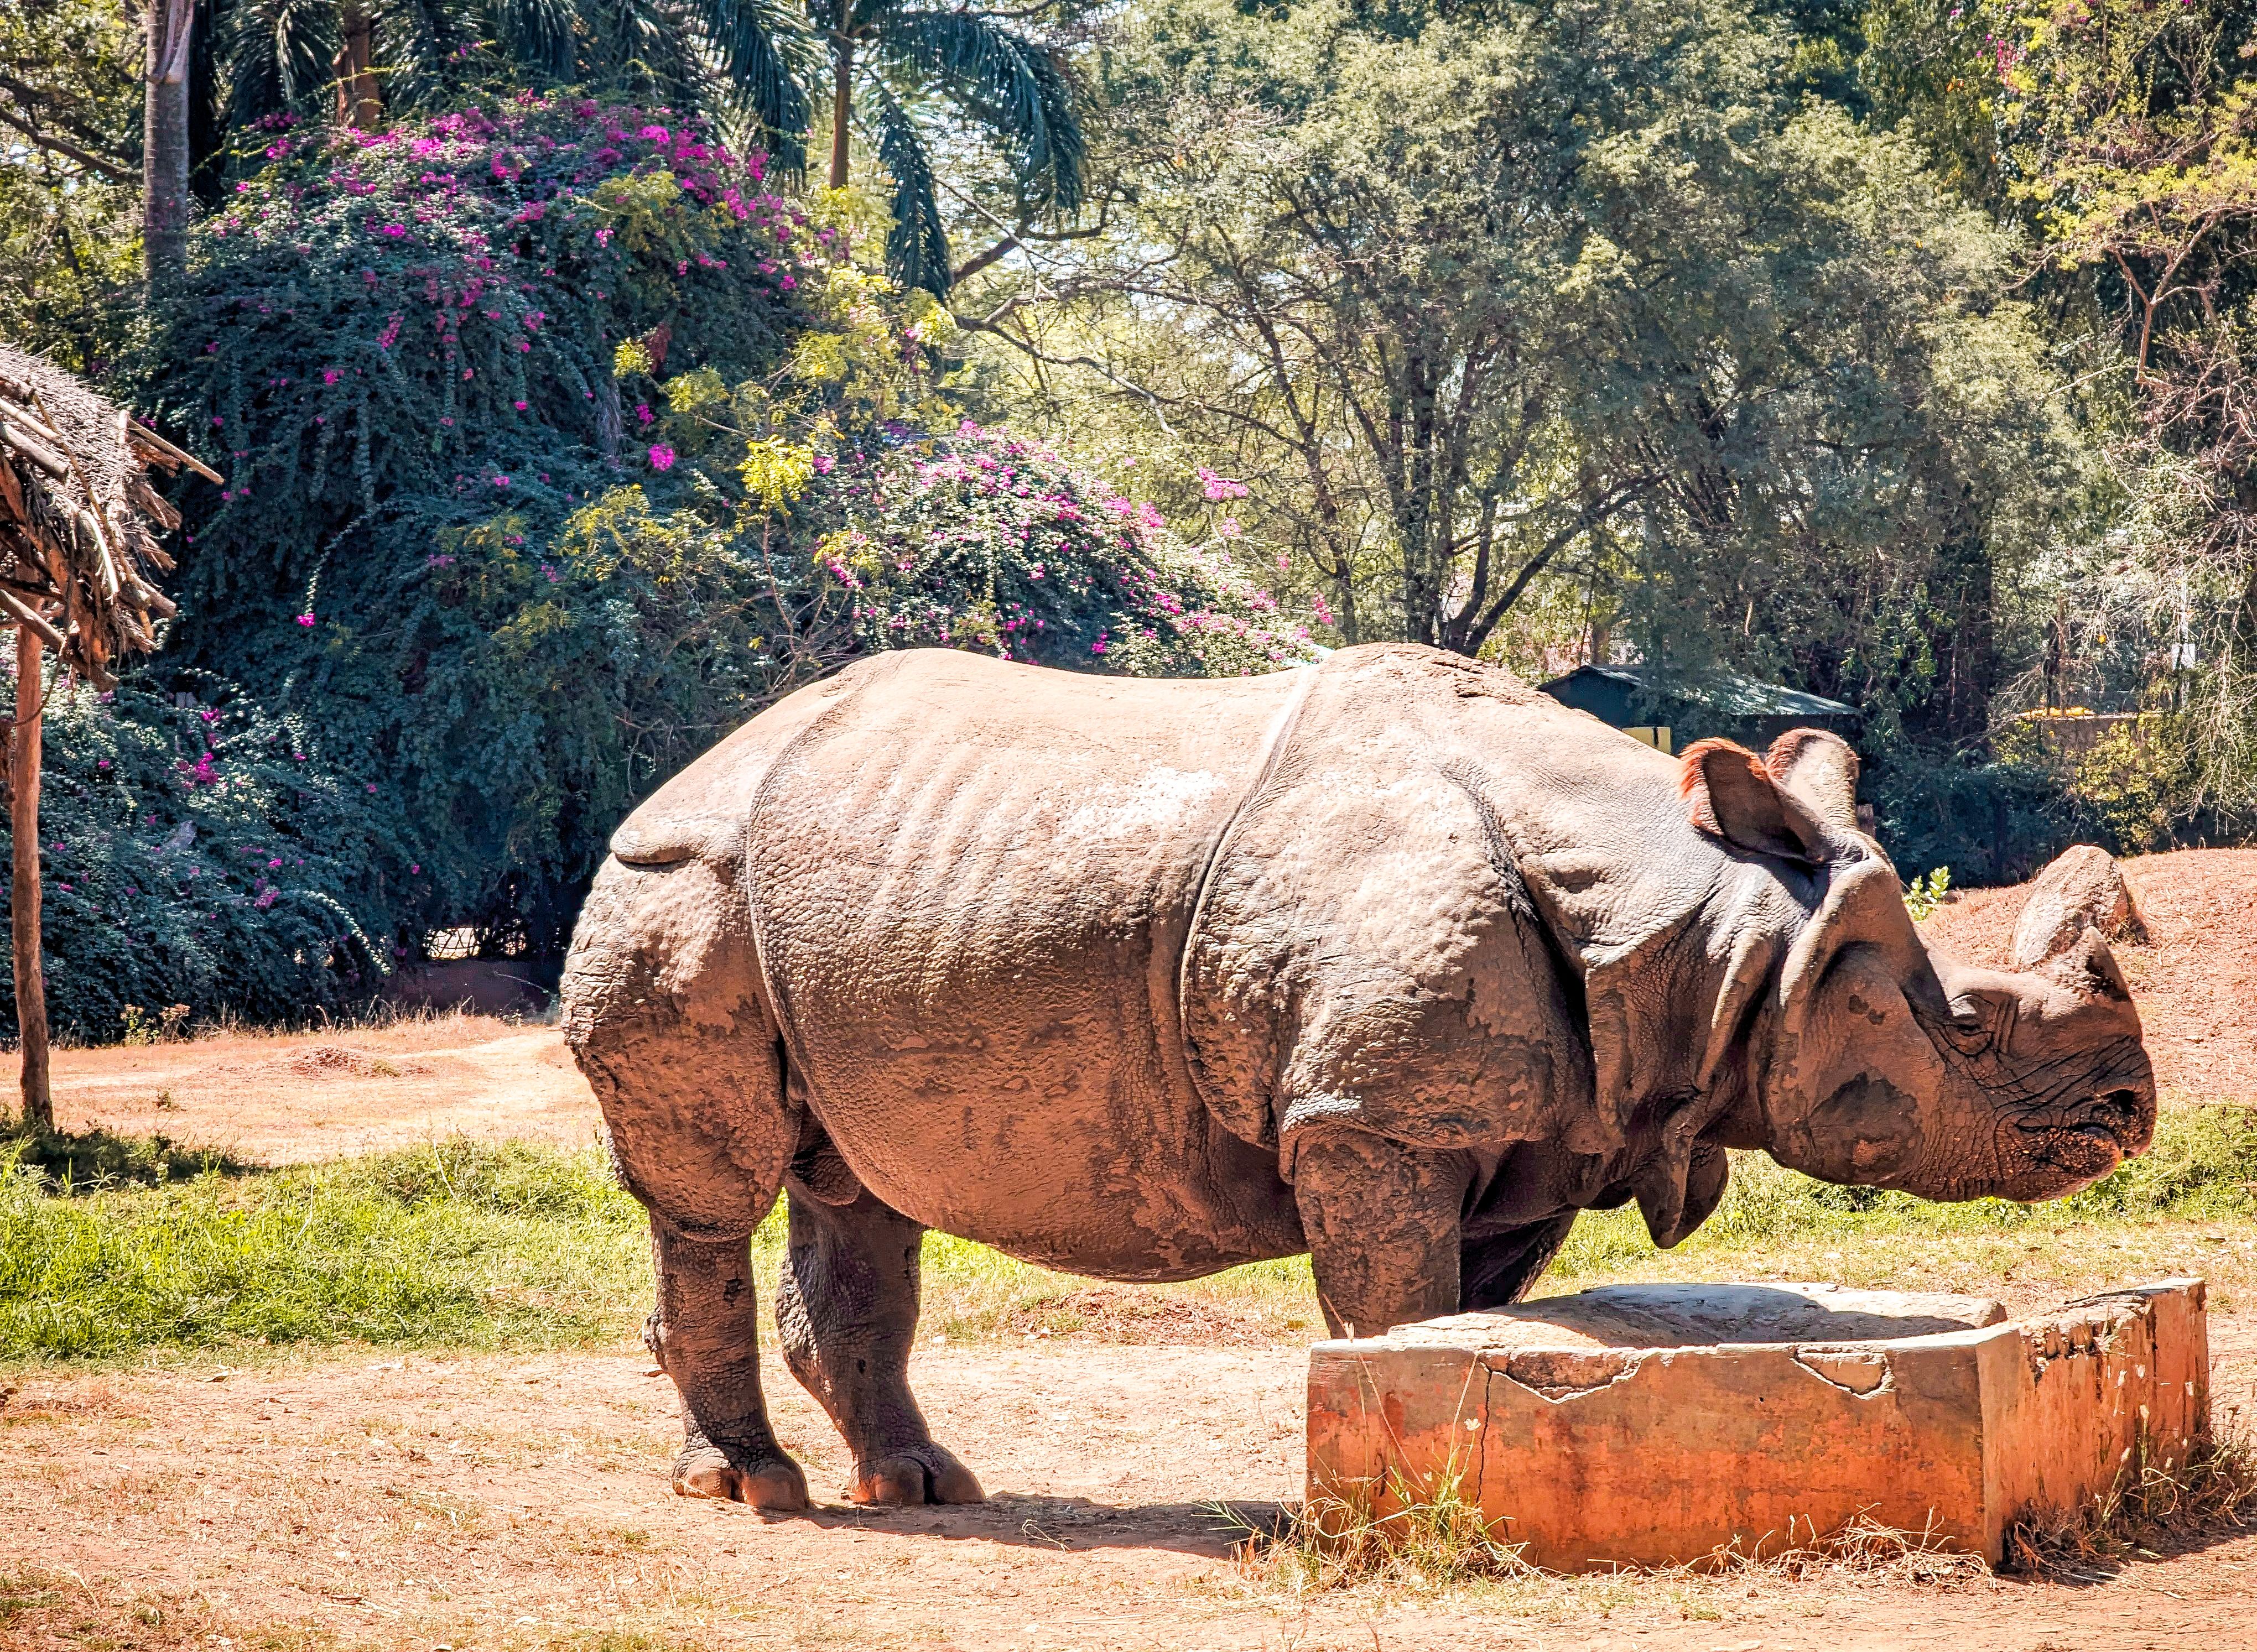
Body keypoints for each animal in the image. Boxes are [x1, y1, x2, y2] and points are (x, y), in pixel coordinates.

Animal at [559, 643, 2155, 1511]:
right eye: (1968, 1028)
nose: (2133, 1111)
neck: (1699, 914)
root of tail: (690, 764)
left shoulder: (1535, 1129)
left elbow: (1475, 1316)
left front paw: (1485, 1455)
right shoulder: (1373, 1120)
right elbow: (1399, 1303)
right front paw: (1417, 1485)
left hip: (863, 887)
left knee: (860, 1183)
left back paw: (925, 1486)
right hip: (681, 875)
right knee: (708, 1193)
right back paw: (758, 1492)